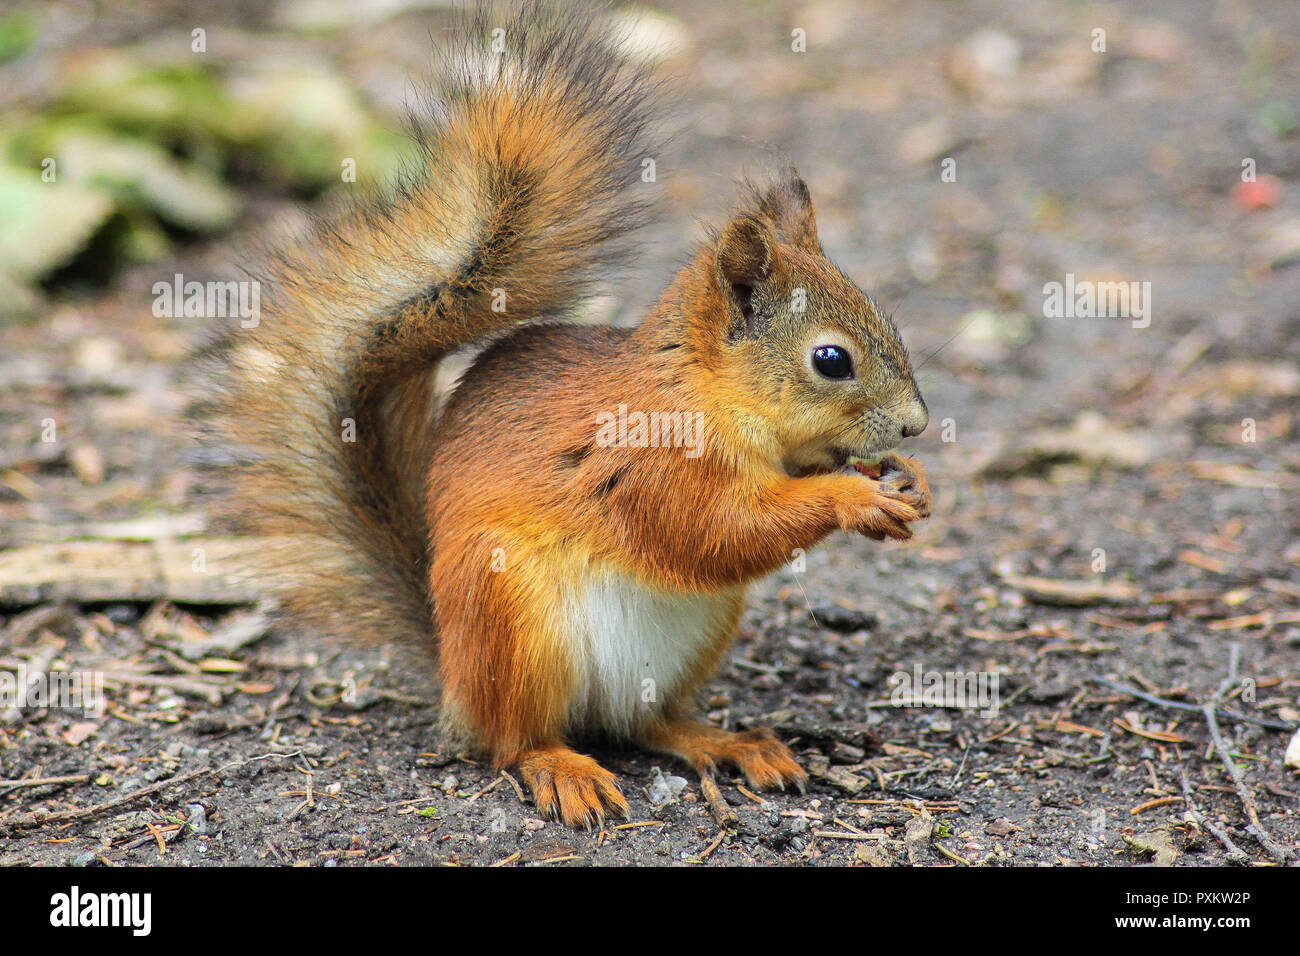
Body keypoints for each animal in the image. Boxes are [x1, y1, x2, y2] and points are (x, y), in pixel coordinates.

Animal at [214, 3, 931, 828]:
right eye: (831, 360)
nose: (916, 424)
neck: (704, 392)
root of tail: (453, 668)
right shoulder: (649, 463)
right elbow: (714, 533)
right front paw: (853, 497)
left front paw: (907, 481)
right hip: (512, 617)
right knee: (513, 740)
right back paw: (562, 769)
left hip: (692, 638)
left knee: (646, 722)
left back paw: (728, 742)